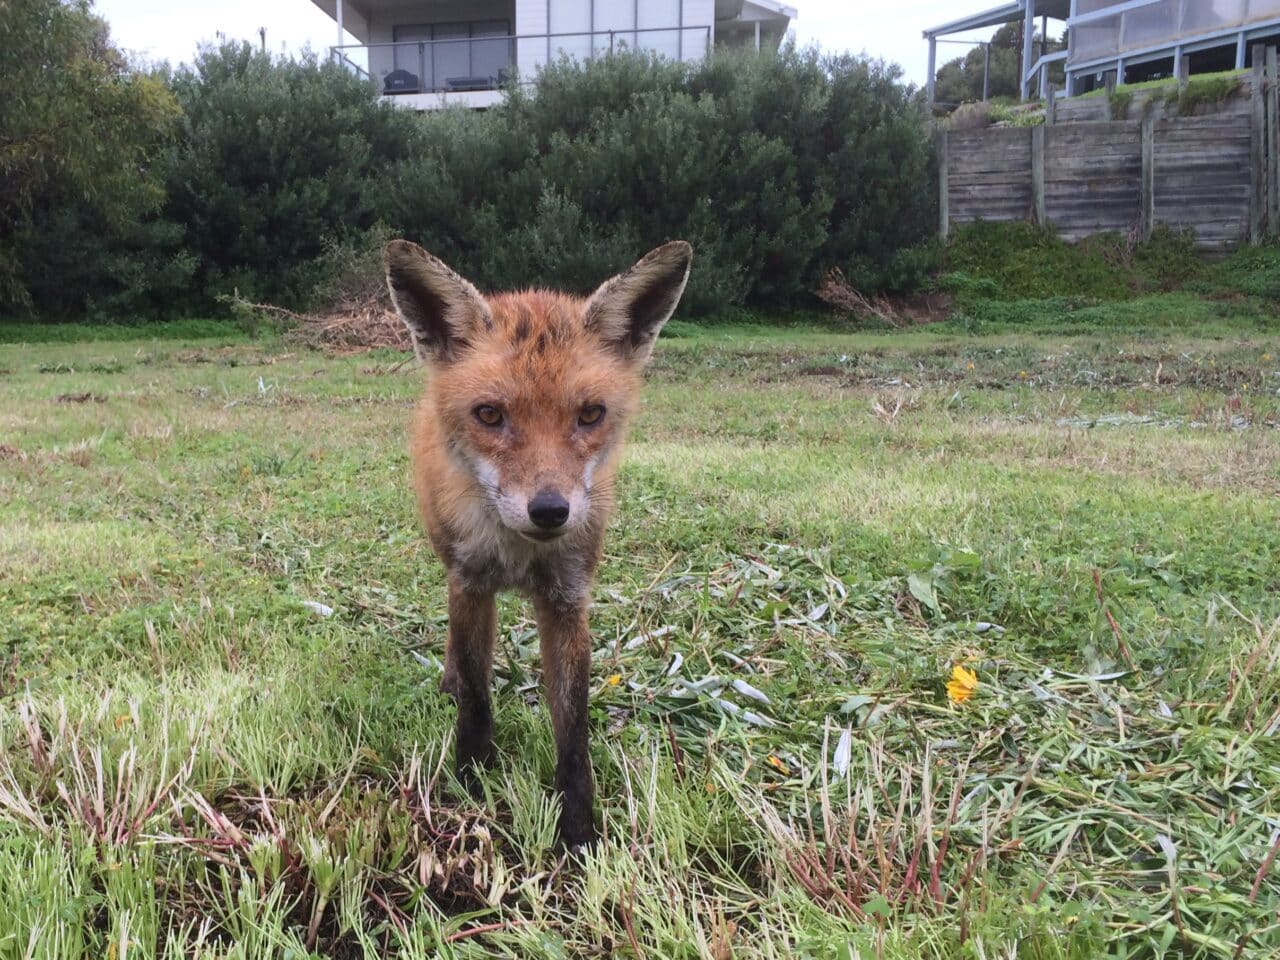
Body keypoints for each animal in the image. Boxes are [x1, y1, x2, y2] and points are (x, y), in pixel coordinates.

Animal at [383, 238, 693, 849]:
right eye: (489, 415)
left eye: (591, 414)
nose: (550, 511)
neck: (518, 553)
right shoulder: (472, 582)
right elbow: (477, 698)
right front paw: (470, 781)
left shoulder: (567, 600)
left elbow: (573, 728)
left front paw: (578, 831)